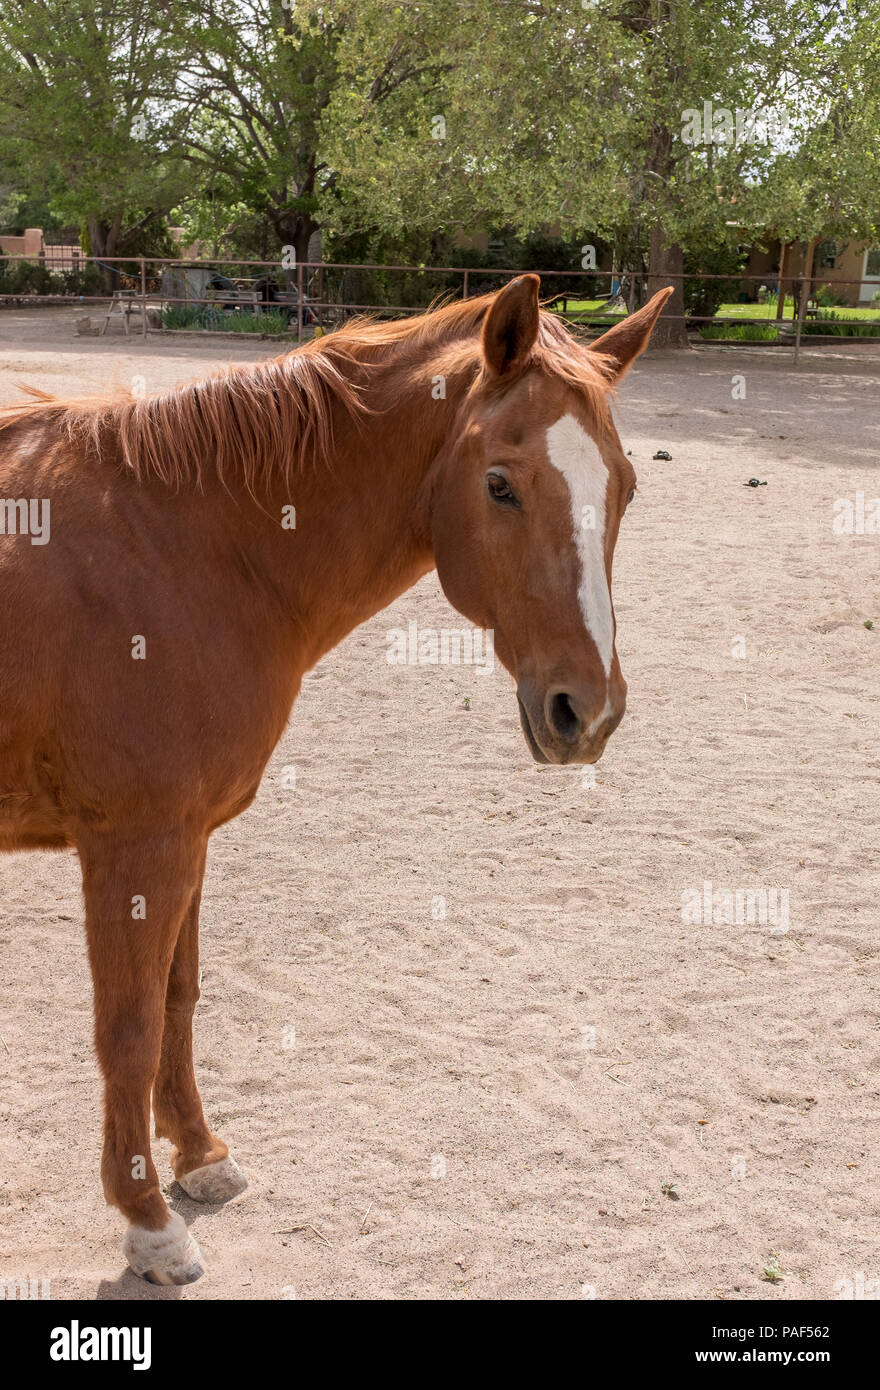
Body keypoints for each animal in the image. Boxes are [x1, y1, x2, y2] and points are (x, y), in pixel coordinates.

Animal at [0, 275, 672, 1283]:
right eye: (500, 484)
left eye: (623, 486)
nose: (586, 711)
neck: (181, 545)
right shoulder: (134, 847)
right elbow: (128, 1026)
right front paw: (149, 1220)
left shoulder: (186, 839)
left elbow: (177, 999)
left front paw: (200, 1157)